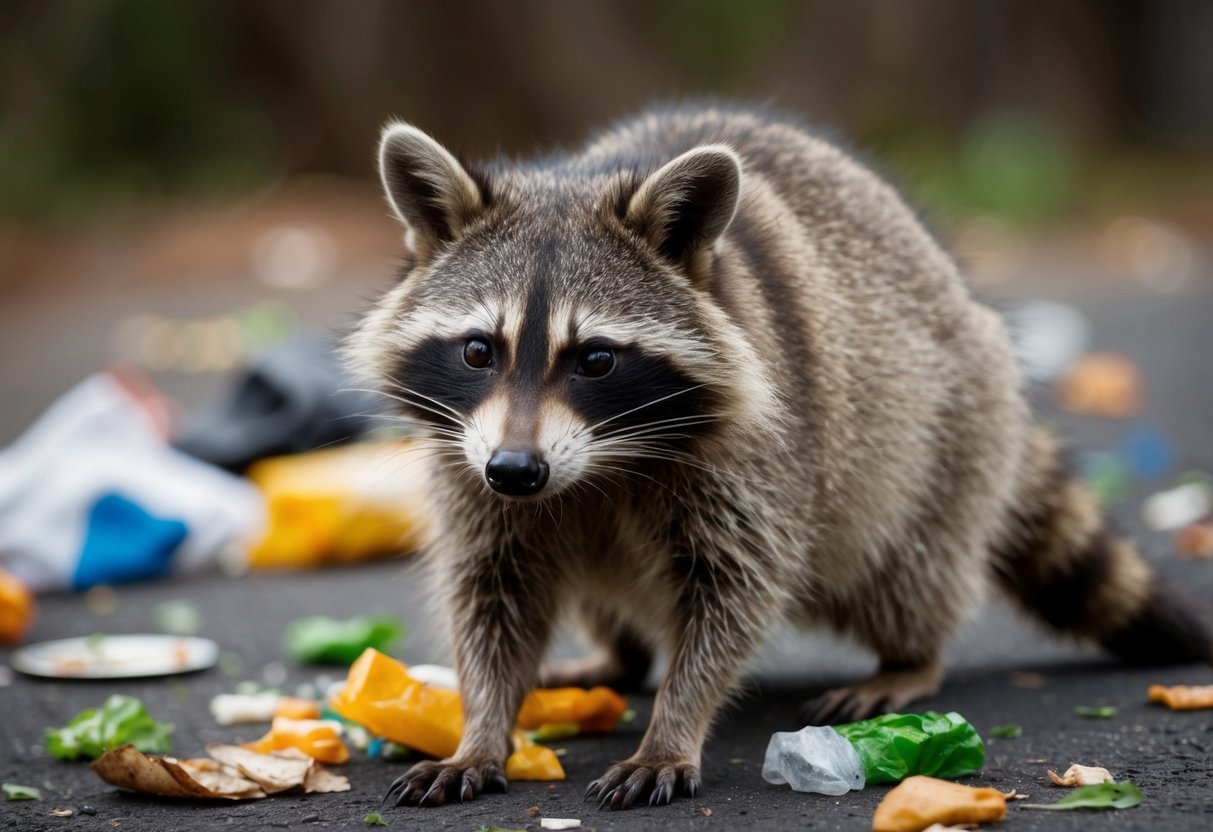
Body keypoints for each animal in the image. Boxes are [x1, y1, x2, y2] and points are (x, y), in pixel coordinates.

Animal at [347, 104, 1213, 810]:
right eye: (476, 350)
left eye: (595, 359)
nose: (517, 472)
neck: (598, 463)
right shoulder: (469, 458)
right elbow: (491, 593)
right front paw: (482, 726)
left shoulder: (758, 456)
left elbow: (731, 594)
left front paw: (675, 724)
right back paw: (614, 655)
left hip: (946, 429)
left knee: (909, 561)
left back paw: (908, 657)